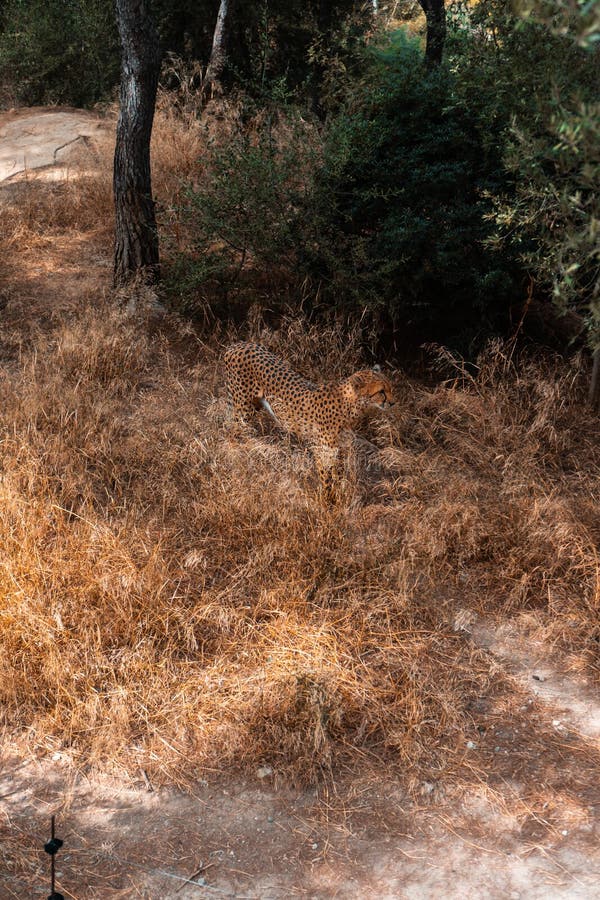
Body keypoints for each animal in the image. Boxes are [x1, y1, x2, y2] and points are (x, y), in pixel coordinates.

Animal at [224, 341, 395, 496]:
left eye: (390, 387)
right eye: (381, 391)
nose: (392, 403)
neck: (350, 406)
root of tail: (238, 345)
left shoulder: (339, 449)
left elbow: (338, 476)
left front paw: (338, 496)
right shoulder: (322, 451)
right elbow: (327, 480)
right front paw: (328, 502)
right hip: (244, 410)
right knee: (232, 434)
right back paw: (233, 461)